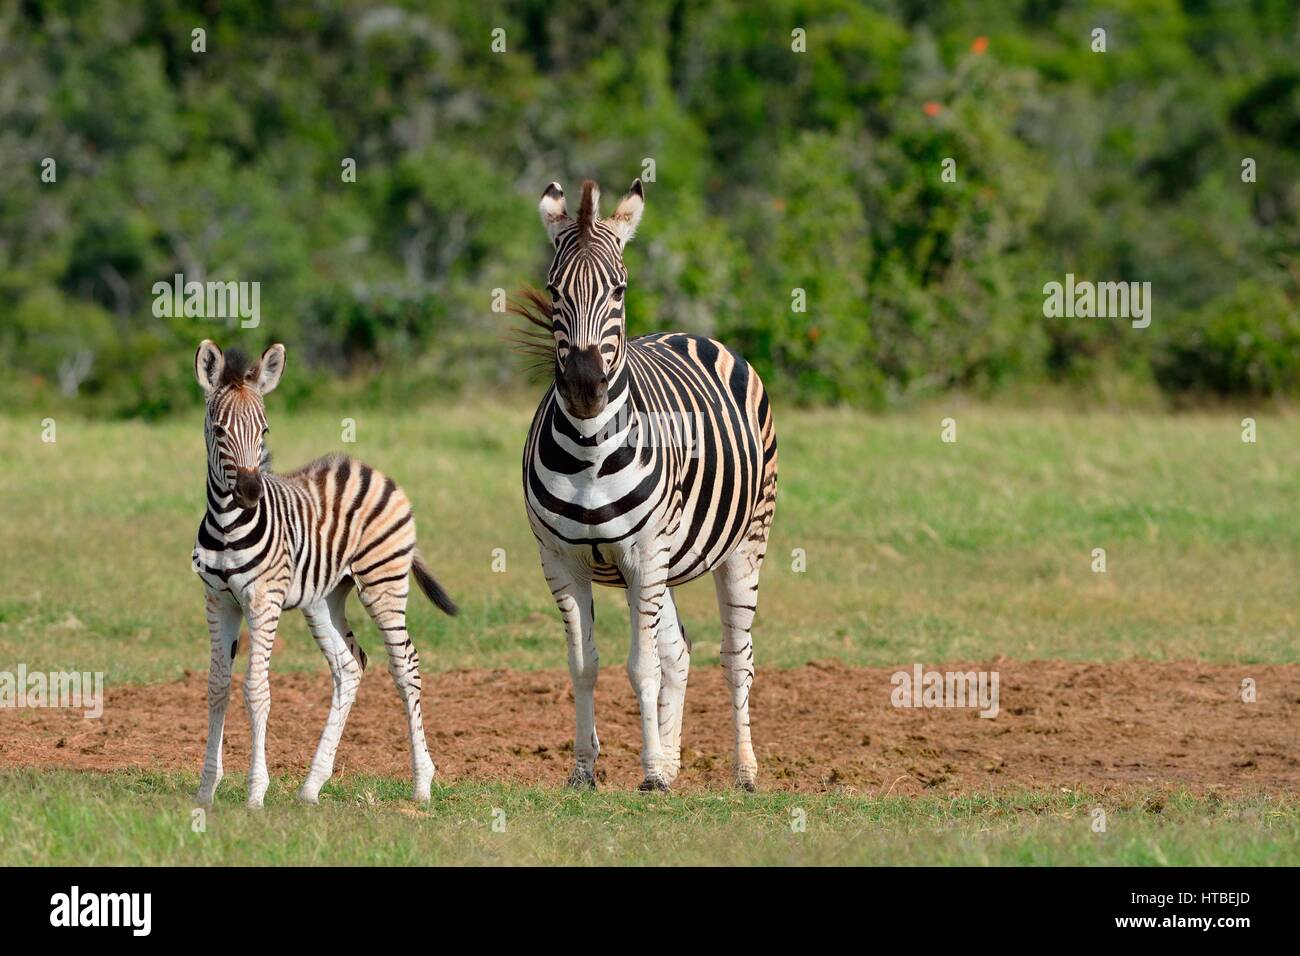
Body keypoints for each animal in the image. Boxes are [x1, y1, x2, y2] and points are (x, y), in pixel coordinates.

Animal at [190, 340, 457, 808]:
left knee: (406, 666)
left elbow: (255, 690)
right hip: (324, 599)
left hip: (383, 583)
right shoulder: (219, 601)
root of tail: (371, 469)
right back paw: (312, 785)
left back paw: (422, 785)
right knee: (350, 666)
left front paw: (255, 793)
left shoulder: (263, 601)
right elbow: (218, 686)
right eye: (220, 431)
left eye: (264, 432)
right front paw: (207, 790)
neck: (226, 525)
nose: (250, 493)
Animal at [517, 178, 779, 792]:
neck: (589, 450)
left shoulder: (641, 555)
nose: (585, 388)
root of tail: (690, 334)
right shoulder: (560, 561)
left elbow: (641, 667)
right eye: (553, 289)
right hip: (666, 566)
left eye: (619, 288)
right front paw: (585, 771)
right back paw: (676, 761)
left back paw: (744, 771)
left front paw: (652, 775)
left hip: (742, 546)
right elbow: (584, 665)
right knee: (679, 653)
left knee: (737, 656)